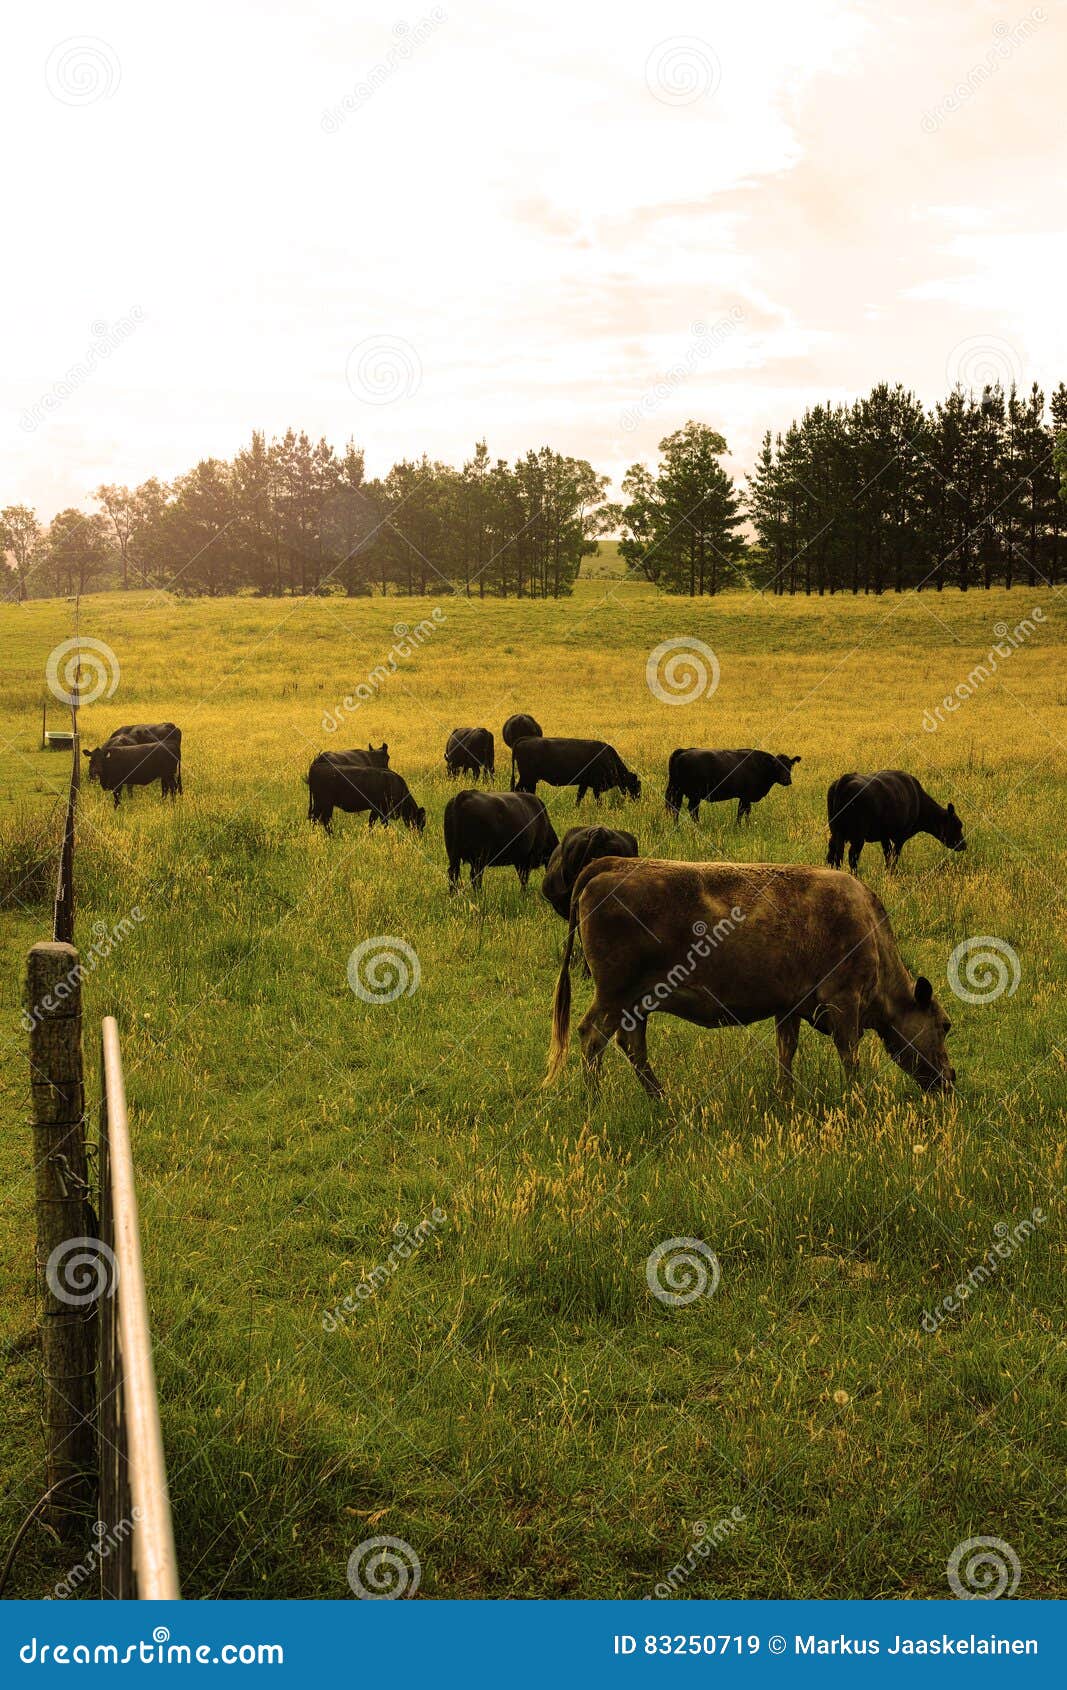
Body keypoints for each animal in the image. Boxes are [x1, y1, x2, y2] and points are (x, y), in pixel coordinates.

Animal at [512, 736, 641, 804]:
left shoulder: (584, 783)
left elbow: (579, 797)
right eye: (635, 785)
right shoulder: (596, 786)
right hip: (527, 778)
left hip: (530, 780)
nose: (638, 799)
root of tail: (526, 739)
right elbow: (597, 800)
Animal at [545, 858, 955, 1099]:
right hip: (615, 995)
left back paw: (662, 1099)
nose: (950, 1078)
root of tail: (612, 865)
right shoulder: (844, 1002)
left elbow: (786, 1051)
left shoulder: (789, 1006)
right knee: (593, 1036)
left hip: (639, 1001)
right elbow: (849, 1055)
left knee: (632, 1045)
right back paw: (597, 1101)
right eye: (945, 1024)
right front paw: (856, 1097)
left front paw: (784, 1096)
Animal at [665, 748, 800, 824]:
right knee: (691, 810)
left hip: (679, 792)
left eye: (790, 766)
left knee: (676, 808)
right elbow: (742, 811)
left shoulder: (744, 797)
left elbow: (744, 811)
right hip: (693, 794)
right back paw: (698, 825)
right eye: (777, 766)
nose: (787, 780)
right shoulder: (746, 796)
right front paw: (741, 826)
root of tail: (684, 750)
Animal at [827, 770, 966, 873]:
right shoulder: (900, 837)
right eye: (958, 825)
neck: (918, 799)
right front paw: (892, 873)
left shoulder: (884, 836)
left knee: (833, 854)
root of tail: (845, 779)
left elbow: (887, 854)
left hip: (836, 832)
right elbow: (894, 856)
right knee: (851, 856)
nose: (964, 845)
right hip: (858, 837)